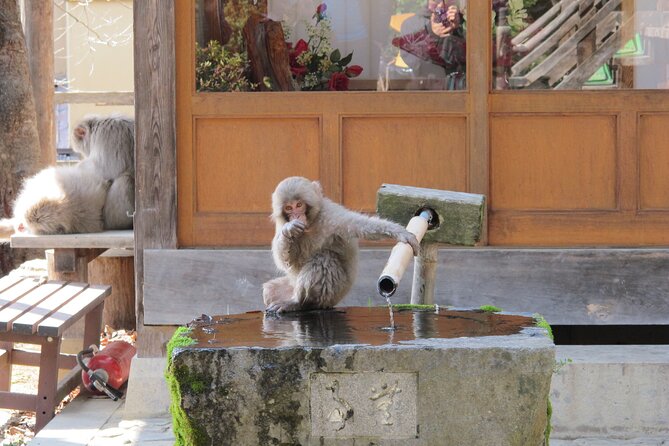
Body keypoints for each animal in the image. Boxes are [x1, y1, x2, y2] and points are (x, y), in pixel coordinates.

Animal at [263, 176, 420, 313]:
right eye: (288, 208)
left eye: (299, 205)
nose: (296, 216)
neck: (311, 224)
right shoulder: (282, 225)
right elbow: (287, 262)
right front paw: (289, 230)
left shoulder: (331, 217)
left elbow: (362, 226)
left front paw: (400, 233)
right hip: (291, 285)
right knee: (270, 290)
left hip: (332, 295)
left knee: (324, 258)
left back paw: (300, 303)